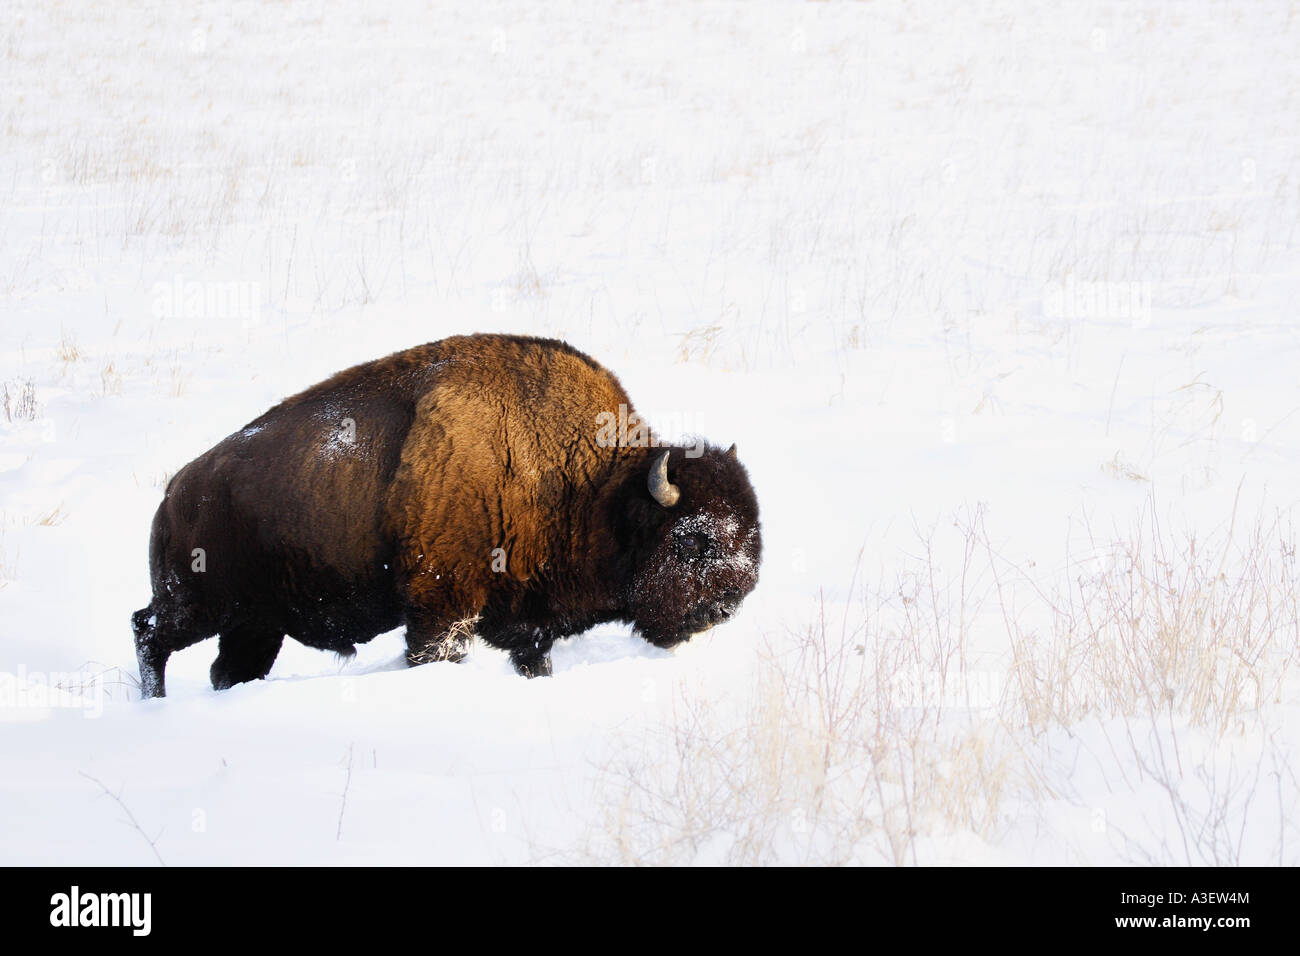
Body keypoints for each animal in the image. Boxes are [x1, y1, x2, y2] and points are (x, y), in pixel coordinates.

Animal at [132, 333, 761, 696]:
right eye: (693, 542)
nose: (730, 603)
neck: (596, 488)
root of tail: (172, 496)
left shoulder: (530, 623)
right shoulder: (442, 606)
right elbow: (435, 652)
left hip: (255, 624)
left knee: (225, 669)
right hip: (198, 605)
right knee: (147, 631)